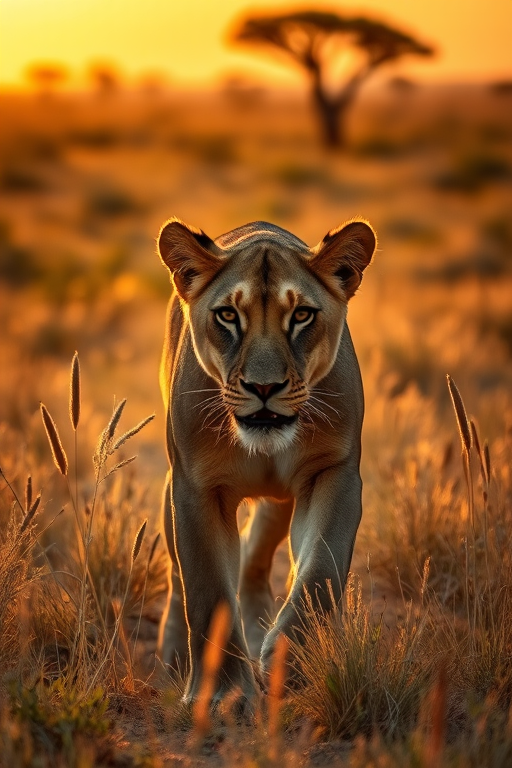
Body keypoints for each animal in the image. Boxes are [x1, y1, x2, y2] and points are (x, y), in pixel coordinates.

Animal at [156, 217, 376, 706]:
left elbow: (320, 572)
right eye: (227, 316)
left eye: (301, 316)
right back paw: (174, 656)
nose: (263, 387)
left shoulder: (334, 472)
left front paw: (286, 661)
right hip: (170, 491)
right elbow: (207, 591)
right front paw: (222, 697)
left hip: (279, 500)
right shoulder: (196, 487)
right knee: (180, 578)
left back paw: (261, 634)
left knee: (255, 557)